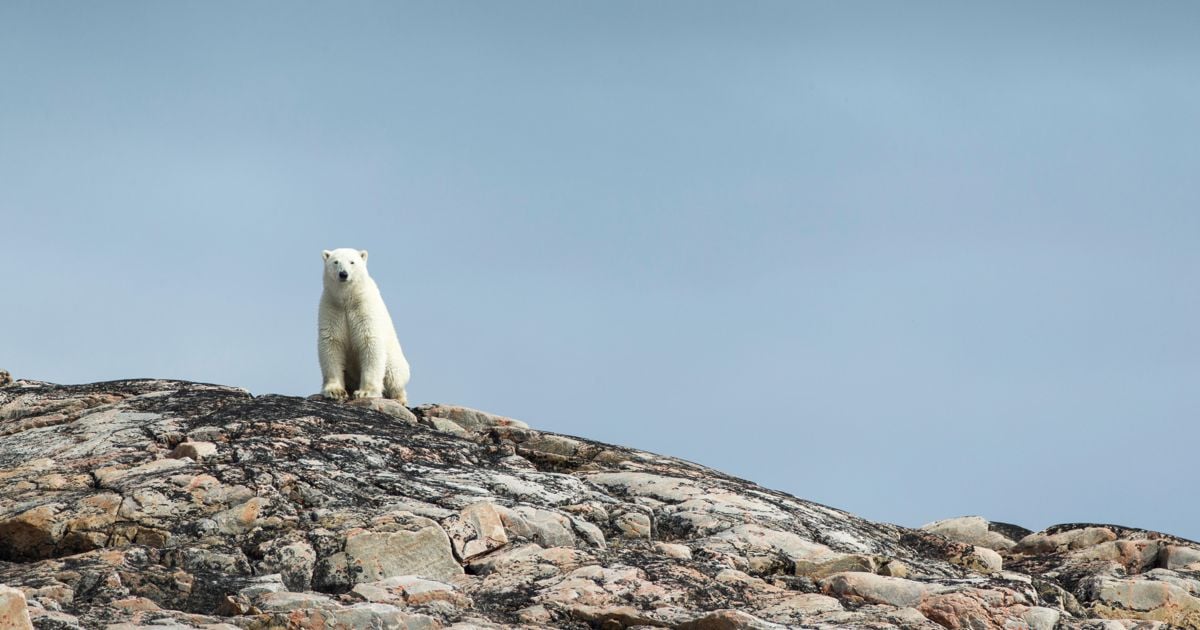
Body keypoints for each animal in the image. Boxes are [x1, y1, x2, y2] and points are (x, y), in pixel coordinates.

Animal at [318, 248, 410, 404]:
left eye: (352, 262)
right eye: (336, 262)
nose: (343, 274)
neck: (347, 300)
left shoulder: (364, 308)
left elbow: (369, 342)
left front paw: (365, 392)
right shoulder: (332, 307)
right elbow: (332, 342)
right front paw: (335, 391)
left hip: (394, 359)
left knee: (394, 376)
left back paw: (399, 399)